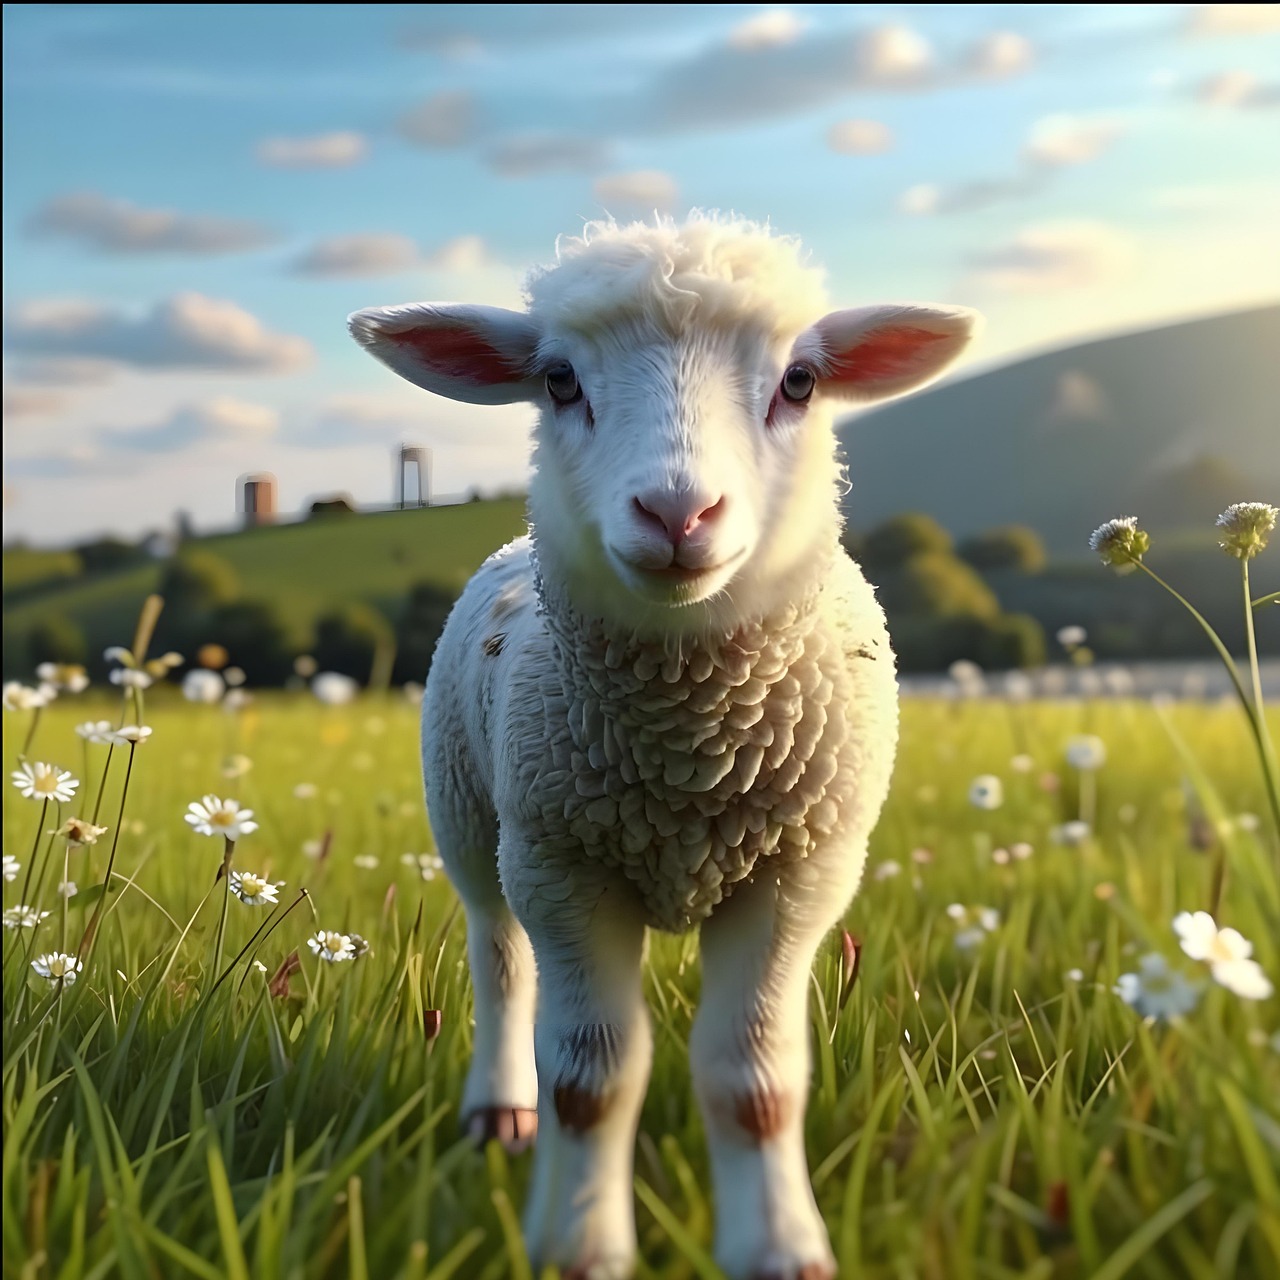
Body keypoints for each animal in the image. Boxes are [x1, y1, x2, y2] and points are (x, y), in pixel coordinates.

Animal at [349, 214, 978, 1280]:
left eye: (799, 381)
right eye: (559, 380)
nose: (678, 514)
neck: (693, 748)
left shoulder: (799, 874)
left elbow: (754, 1083)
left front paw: (779, 1246)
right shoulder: (563, 864)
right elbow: (588, 1081)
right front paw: (577, 1244)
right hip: (473, 818)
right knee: (498, 959)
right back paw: (499, 1110)